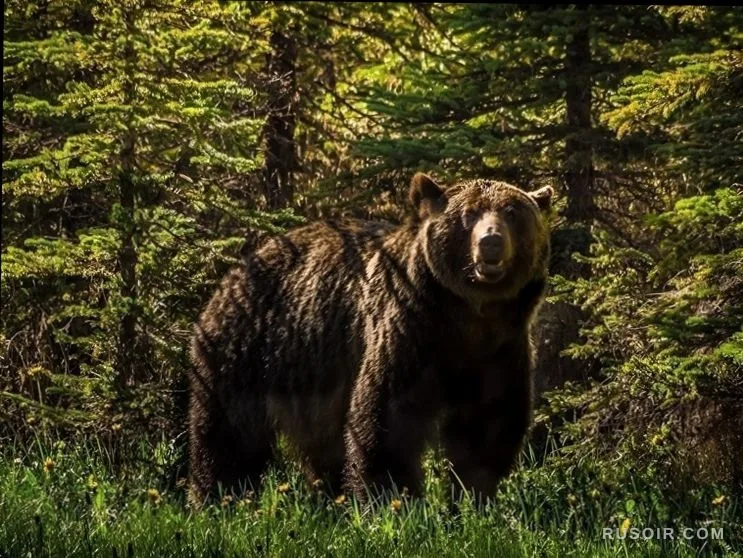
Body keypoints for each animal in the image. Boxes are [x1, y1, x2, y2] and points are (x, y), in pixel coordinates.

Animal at [188, 172, 553, 507]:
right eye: (469, 213)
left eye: (511, 212)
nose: (491, 241)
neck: (466, 315)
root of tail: (232, 273)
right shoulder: (408, 331)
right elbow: (386, 417)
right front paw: (392, 498)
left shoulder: (500, 348)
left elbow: (486, 423)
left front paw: (473, 497)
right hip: (245, 349)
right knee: (229, 434)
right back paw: (217, 496)